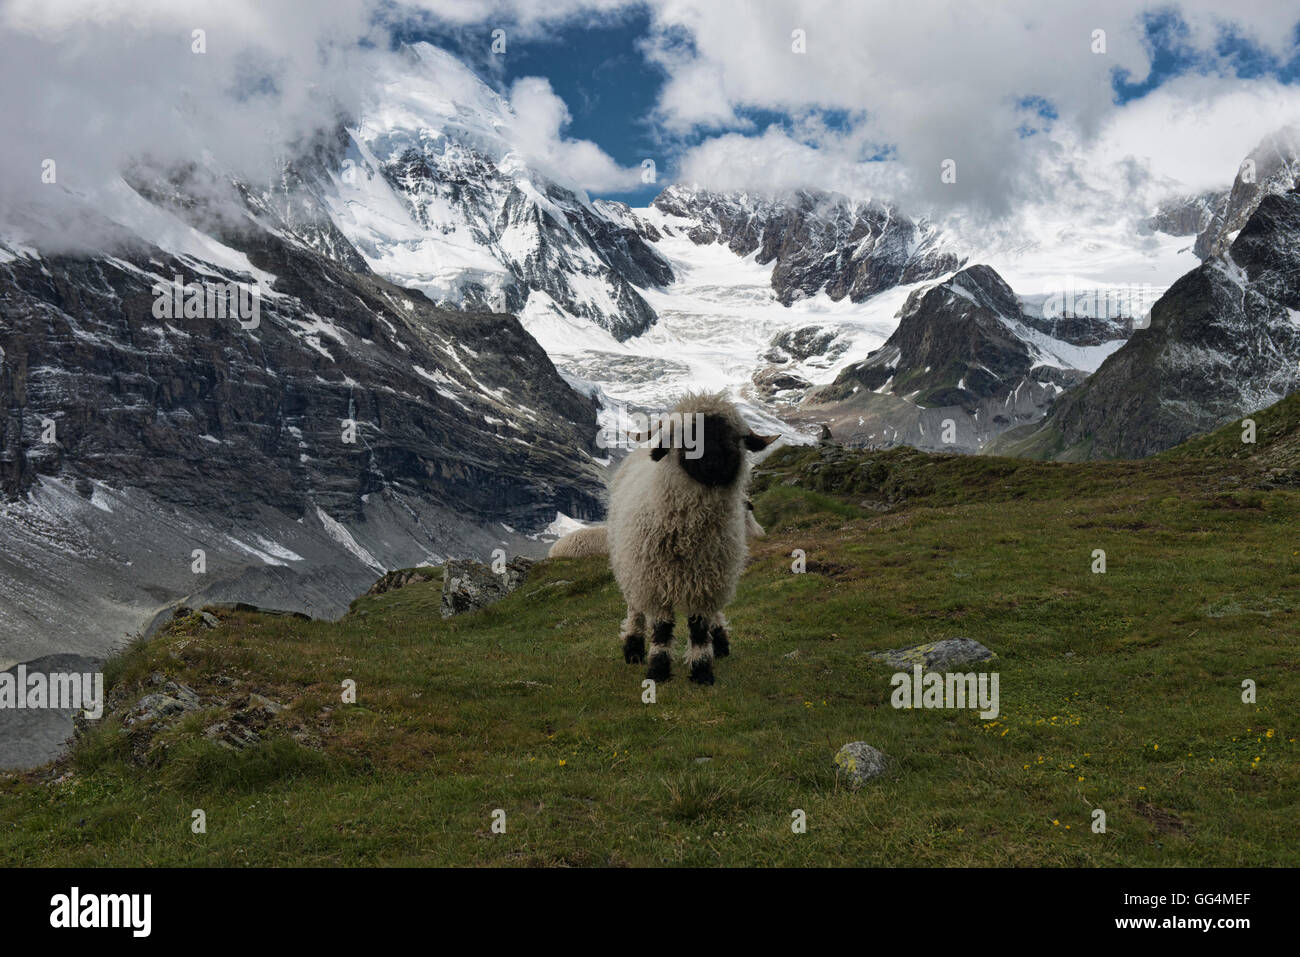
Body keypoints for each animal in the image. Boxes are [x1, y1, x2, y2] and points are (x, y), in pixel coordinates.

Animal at [606, 392, 778, 685]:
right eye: (686, 435)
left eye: (735, 435)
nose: (718, 463)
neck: (691, 534)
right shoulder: (655, 581)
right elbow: (662, 629)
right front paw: (658, 669)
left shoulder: (707, 581)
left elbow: (699, 629)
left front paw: (702, 671)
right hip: (630, 568)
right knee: (635, 610)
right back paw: (633, 648)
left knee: (714, 615)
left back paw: (720, 642)